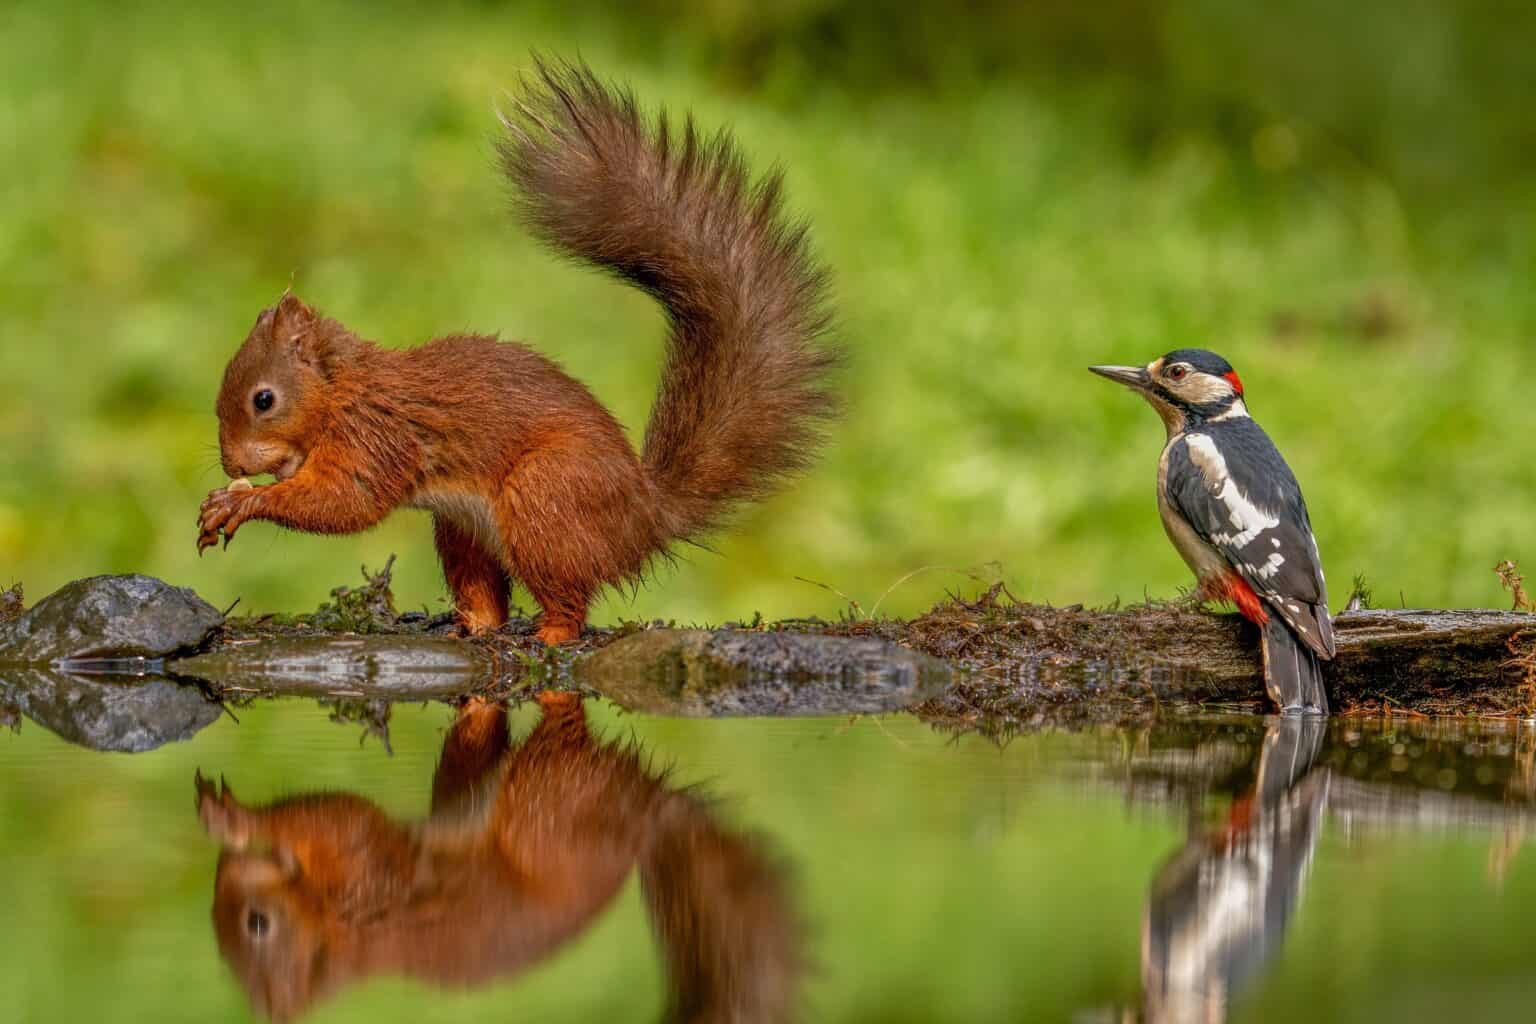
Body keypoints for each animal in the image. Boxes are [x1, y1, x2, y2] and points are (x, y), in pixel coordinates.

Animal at [195, 692, 800, 1022]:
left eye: (256, 924)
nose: (225, 869)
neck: (342, 932)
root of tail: (645, 815)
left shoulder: (368, 876)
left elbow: (339, 817)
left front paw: (240, 824)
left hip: (548, 816)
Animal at [197, 59, 838, 643]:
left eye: (263, 399)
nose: (233, 466)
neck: (343, 392)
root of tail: (643, 517)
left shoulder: (375, 436)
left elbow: (346, 502)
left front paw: (242, 503)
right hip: (462, 528)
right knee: (486, 589)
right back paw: (470, 626)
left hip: (544, 500)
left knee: (570, 597)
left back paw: (550, 633)